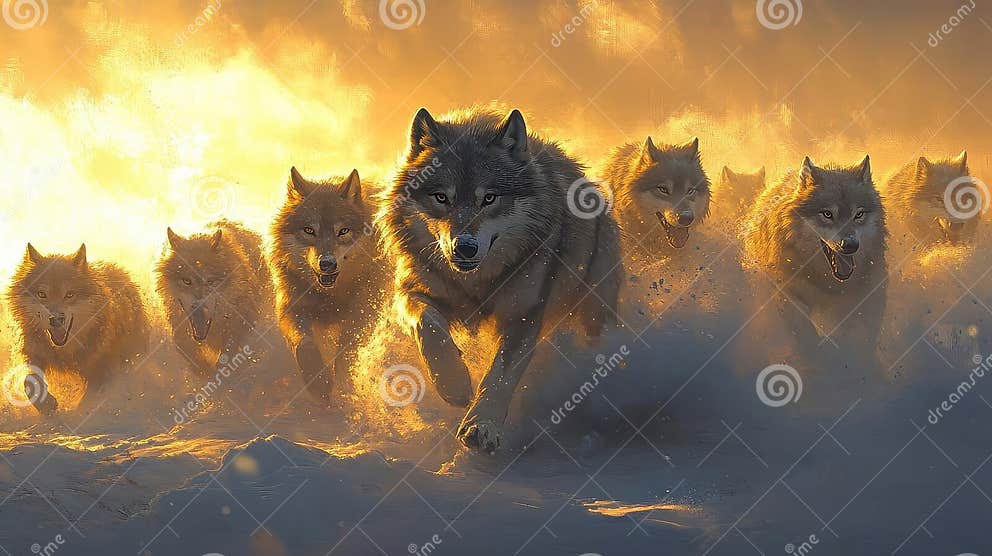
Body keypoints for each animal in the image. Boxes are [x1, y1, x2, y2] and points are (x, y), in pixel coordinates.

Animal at [6, 244, 150, 414]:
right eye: (42, 294)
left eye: (69, 294)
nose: (56, 319)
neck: (64, 351)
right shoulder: (35, 353)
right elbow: (29, 380)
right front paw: (46, 405)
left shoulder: (102, 370)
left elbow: (91, 398)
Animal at [156, 220, 273, 377]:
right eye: (186, 281)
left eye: (210, 282)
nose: (198, 306)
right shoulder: (178, 328)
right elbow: (187, 351)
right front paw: (204, 373)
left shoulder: (243, 320)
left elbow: (228, 354)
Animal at [270, 167, 385, 403]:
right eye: (309, 230)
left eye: (343, 231)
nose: (327, 263)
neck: (329, 296)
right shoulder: (291, 308)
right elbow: (304, 346)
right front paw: (319, 384)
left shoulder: (363, 314)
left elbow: (346, 351)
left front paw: (342, 386)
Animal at [379, 107, 623, 453]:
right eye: (442, 197)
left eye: (489, 198)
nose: (464, 247)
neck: (475, 282)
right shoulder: (413, 292)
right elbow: (429, 328)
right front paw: (453, 383)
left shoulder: (522, 315)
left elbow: (500, 375)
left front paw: (481, 426)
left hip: (592, 315)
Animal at [743, 155, 887, 348]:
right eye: (827, 214)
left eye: (858, 215)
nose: (850, 245)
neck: (829, 285)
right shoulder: (788, 293)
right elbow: (803, 330)